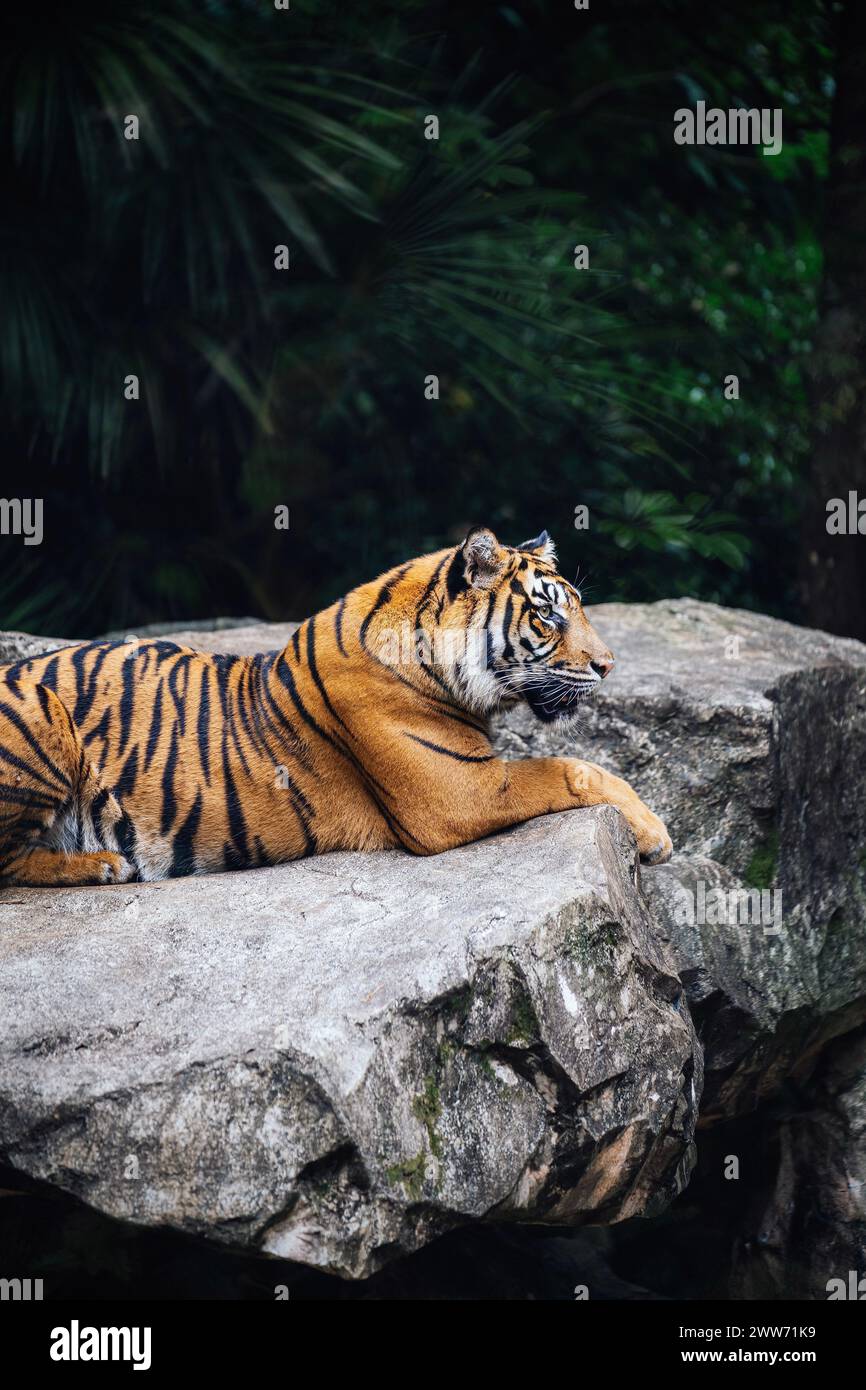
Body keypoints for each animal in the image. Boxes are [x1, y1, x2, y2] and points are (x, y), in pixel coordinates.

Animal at [0, 527, 672, 887]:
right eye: (549, 614)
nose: (609, 665)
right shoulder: (459, 793)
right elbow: (574, 769)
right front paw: (656, 834)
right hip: (40, 713)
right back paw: (104, 865)